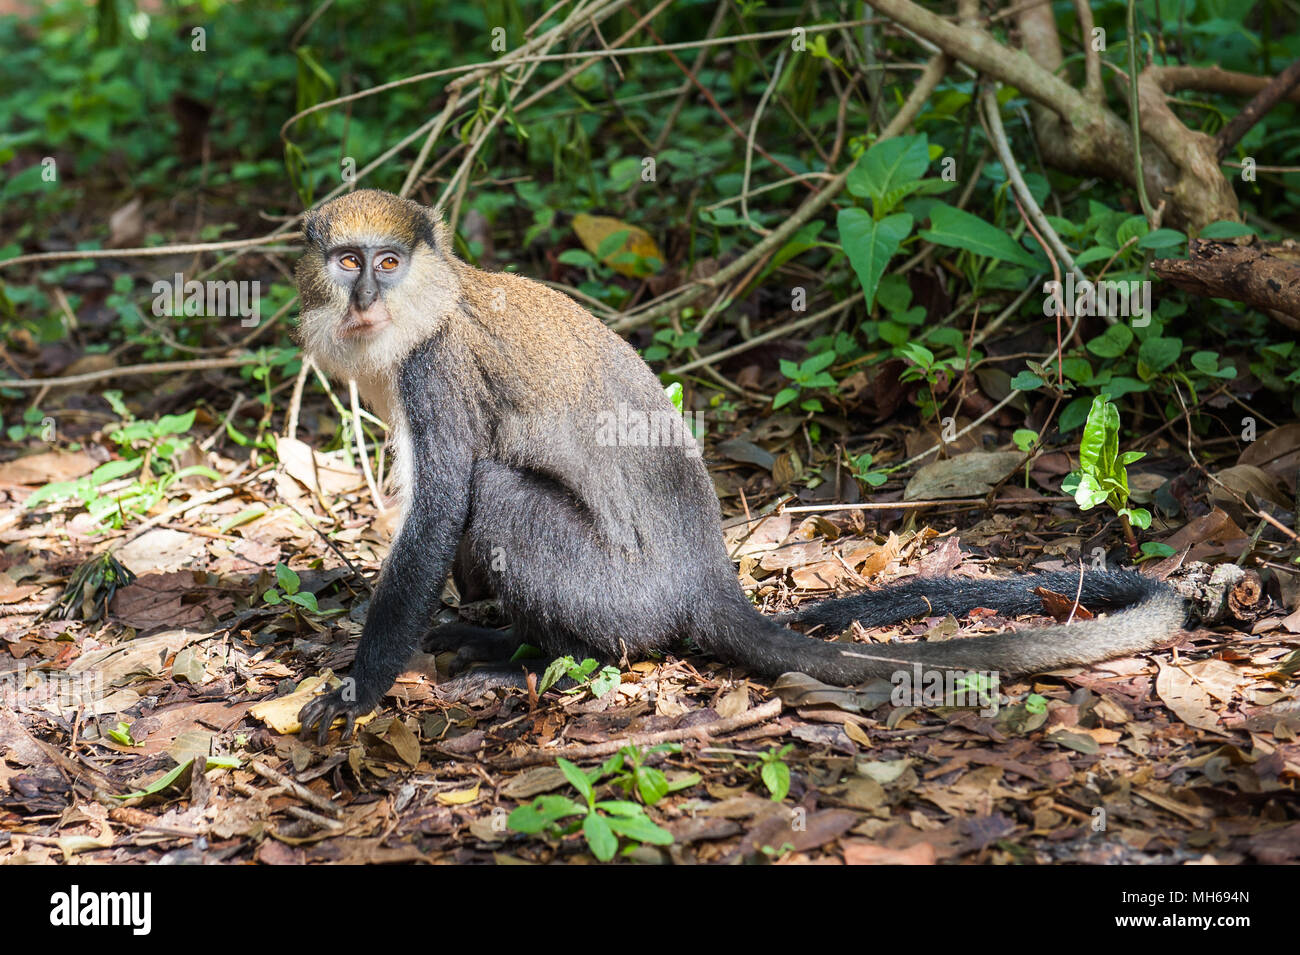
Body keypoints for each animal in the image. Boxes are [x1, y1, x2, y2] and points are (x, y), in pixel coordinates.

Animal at [292, 189, 1187, 742]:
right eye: (347, 261)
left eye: (388, 261)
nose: (365, 297)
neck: (428, 303)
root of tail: (705, 580)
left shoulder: (434, 370)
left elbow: (441, 510)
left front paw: (356, 692)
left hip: (616, 594)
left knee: (500, 493)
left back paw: (544, 660)